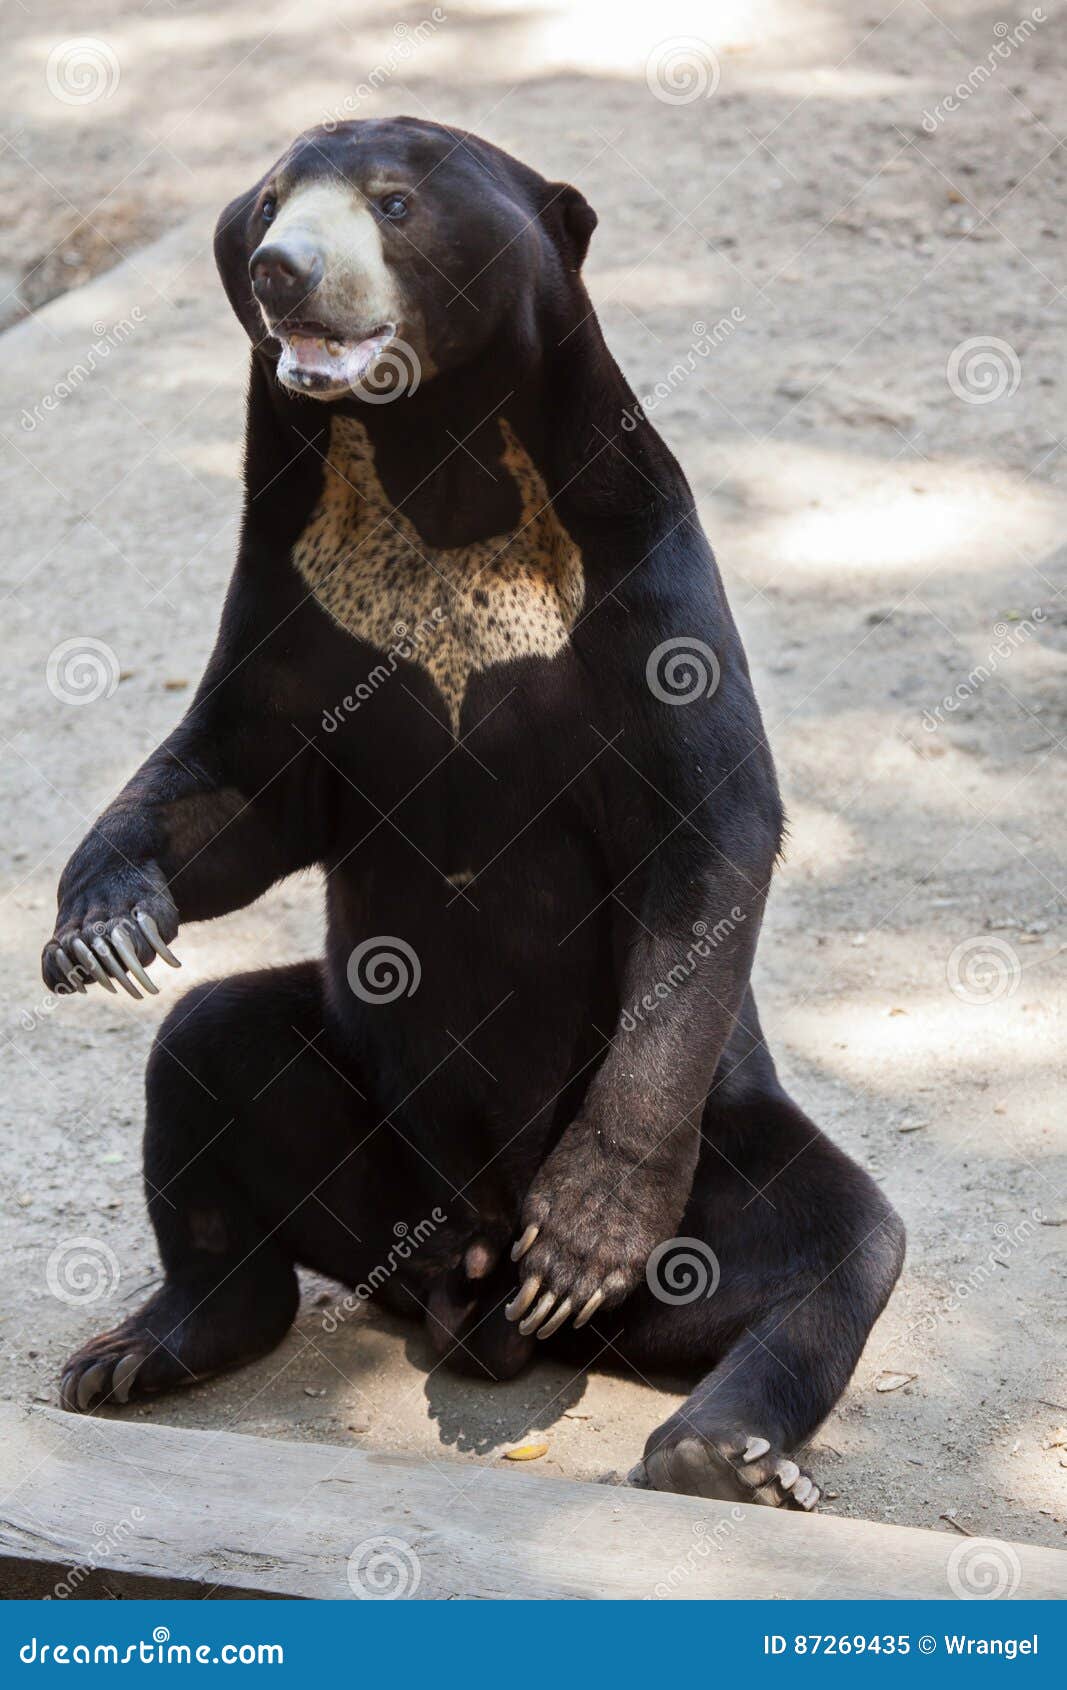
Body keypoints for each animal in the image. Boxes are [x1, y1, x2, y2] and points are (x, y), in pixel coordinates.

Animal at [43, 117, 904, 1510]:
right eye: (268, 205)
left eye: (392, 205)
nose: (282, 272)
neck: (427, 462)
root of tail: (469, 1294)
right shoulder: (295, 582)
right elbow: (239, 783)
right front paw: (102, 929)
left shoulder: (635, 573)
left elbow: (709, 827)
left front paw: (586, 1236)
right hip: (365, 1114)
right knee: (205, 1058)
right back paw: (139, 1351)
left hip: (720, 1154)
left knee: (839, 1240)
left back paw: (717, 1449)